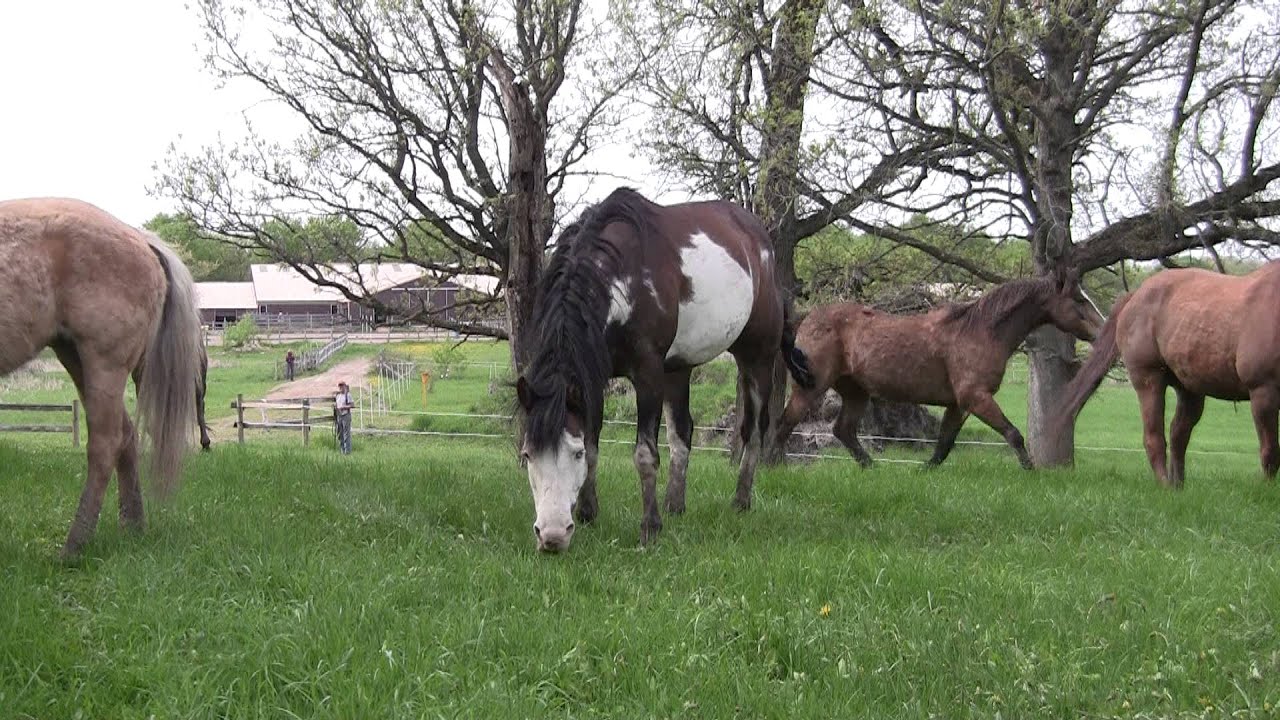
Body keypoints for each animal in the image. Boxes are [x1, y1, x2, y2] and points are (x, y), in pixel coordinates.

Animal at [0, 198, 202, 557]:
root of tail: (140, 238)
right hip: (76, 359)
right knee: (126, 437)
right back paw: (132, 527)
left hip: (103, 364)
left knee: (105, 444)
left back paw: (74, 546)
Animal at [515, 188, 814, 552]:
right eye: (528, 455)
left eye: (573, 455)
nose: (552, 536)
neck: (621, 279)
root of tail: (760, 241)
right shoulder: (594, 378)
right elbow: (595, 442)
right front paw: (588, 513)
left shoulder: (648, 375)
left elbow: (643, 454)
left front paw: (650, 528)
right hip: (678, 369)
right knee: (682, 433)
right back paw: (675, 504)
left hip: (756, 358)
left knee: (754, 431)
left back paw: (740, 501)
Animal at [774, 269, 1104, 469]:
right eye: (1078, 299)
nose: (1102, 330)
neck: (980, 331)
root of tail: (806, 319)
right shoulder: (976, 397)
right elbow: (1013, 434)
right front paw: (1030, 470)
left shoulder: (959, 405)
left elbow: (944, 445)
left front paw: (924, 472)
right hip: (812, 387)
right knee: (784, 423)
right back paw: (774, 465)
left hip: (856, 392)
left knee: (843, 430)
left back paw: (872, 468)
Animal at [1053, 262, 1280, 487]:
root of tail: (1136, 294)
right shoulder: (1263, 392)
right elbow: (1270, 453)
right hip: (1148, 379)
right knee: (1154, 438)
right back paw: (1165, 485)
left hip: (1189, 389)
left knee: (1178, 435)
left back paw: (1177, 487)